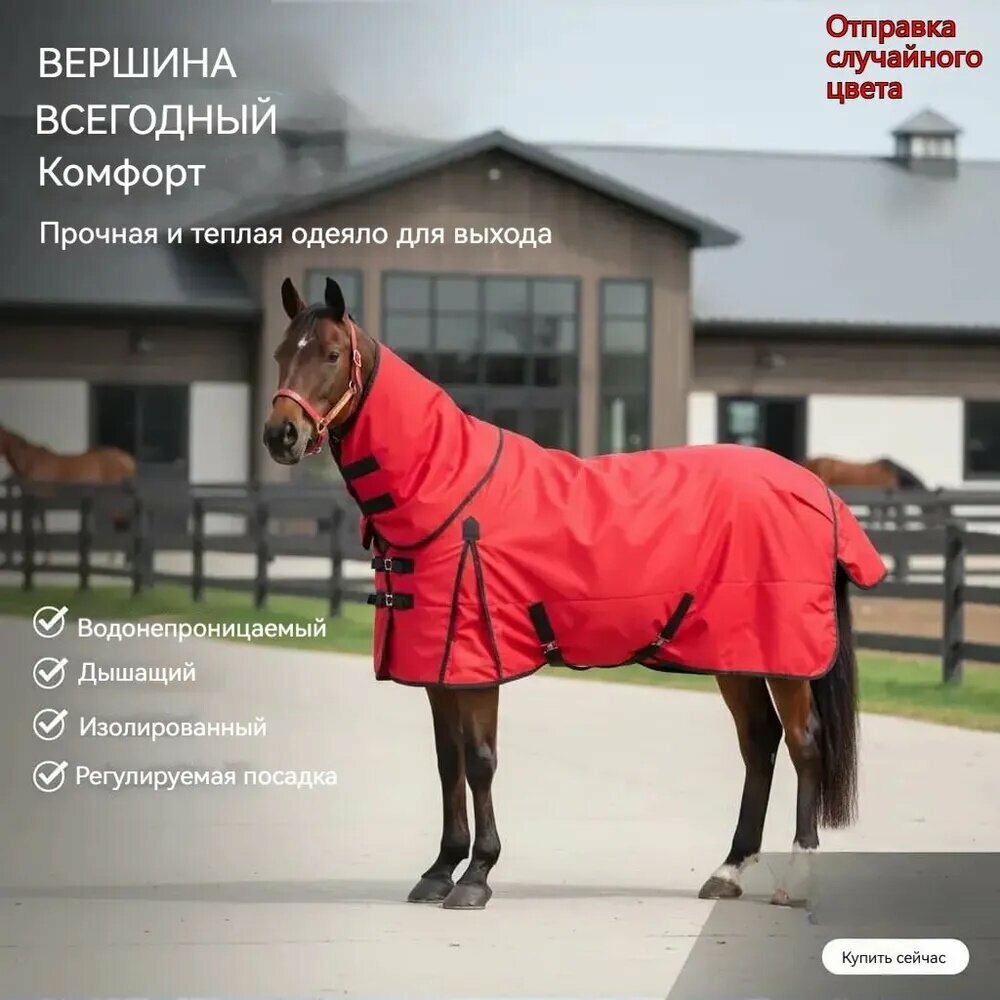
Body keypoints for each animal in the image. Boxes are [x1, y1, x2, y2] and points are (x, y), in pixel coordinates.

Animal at [264, 276, 887, 911]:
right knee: (759, 744)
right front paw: (439, 871)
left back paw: (796, 881)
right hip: (735, 656)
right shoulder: (440, 669)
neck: (450, 493)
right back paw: (729, 870)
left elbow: (480, 762)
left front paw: (476, 876)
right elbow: (447, 764)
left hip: (784, 661)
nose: (281, 435)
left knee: (804, 745)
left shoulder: (480, 666)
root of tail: (817, 489)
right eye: (282, 353)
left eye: (331, 355)